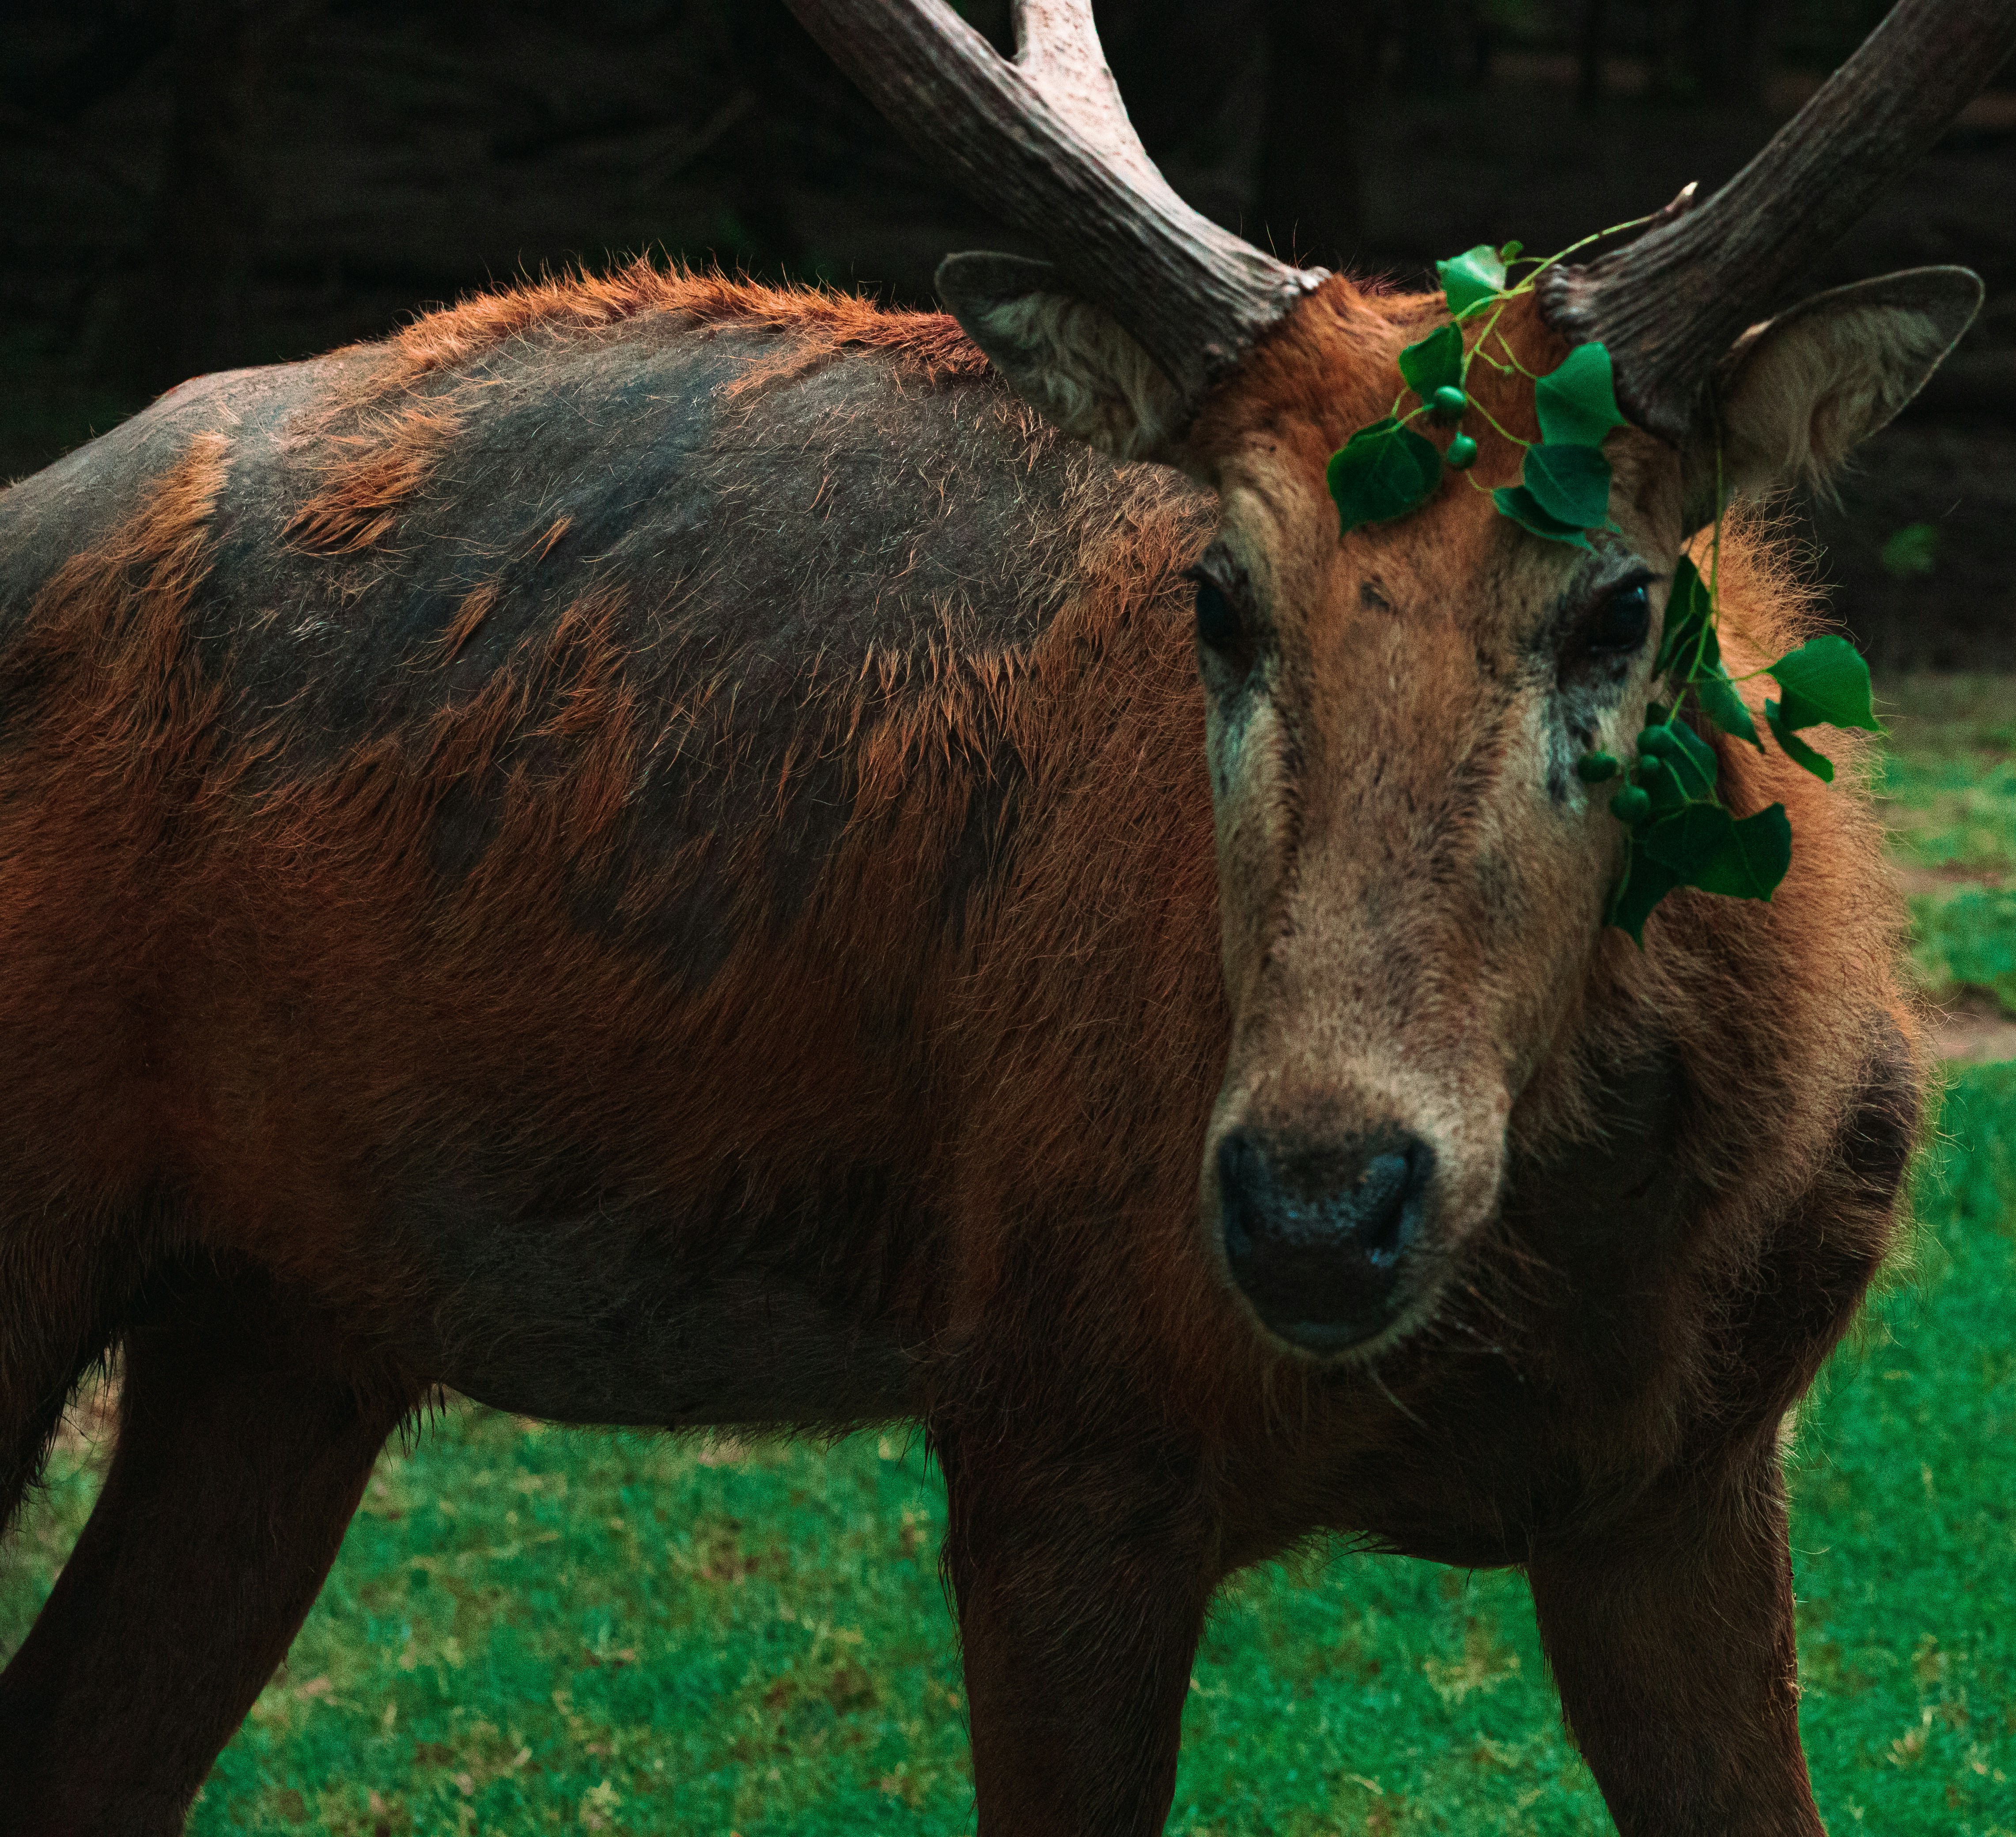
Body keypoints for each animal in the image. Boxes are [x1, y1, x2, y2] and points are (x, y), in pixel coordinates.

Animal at [0, 0, 2009, 1830]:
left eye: (1621, 604)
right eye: (1217, 593)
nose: (1316, 1200)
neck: (1599, 1283)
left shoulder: (1685, 1474)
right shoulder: (1056, 1410)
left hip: (281, 1318)